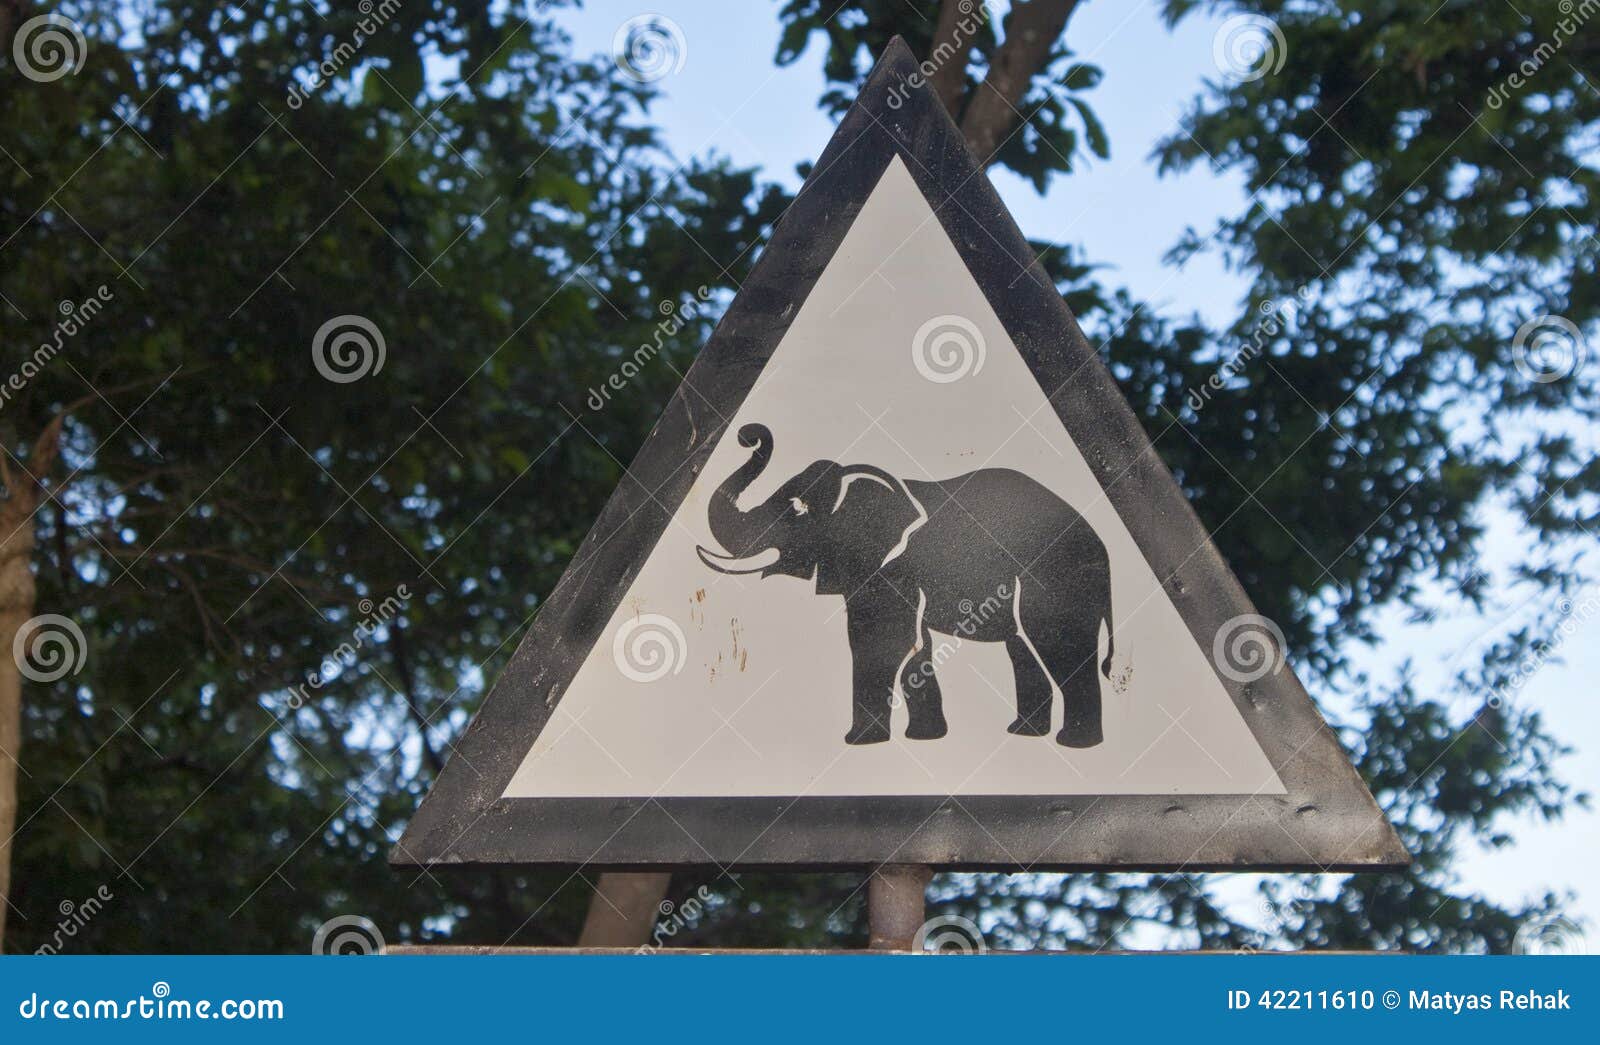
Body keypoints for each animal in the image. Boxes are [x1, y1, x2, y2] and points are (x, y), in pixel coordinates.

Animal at [695, 423, 1114, 748]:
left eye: (796, 508)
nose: (748, 435)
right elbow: (916, 645)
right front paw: (924, 739)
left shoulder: (893, 572)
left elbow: (881, 642)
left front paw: (860, 743)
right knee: (1023, 649)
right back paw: (1024, 734)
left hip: (1060, 583)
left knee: (1059, 648)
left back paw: (1075, 745)